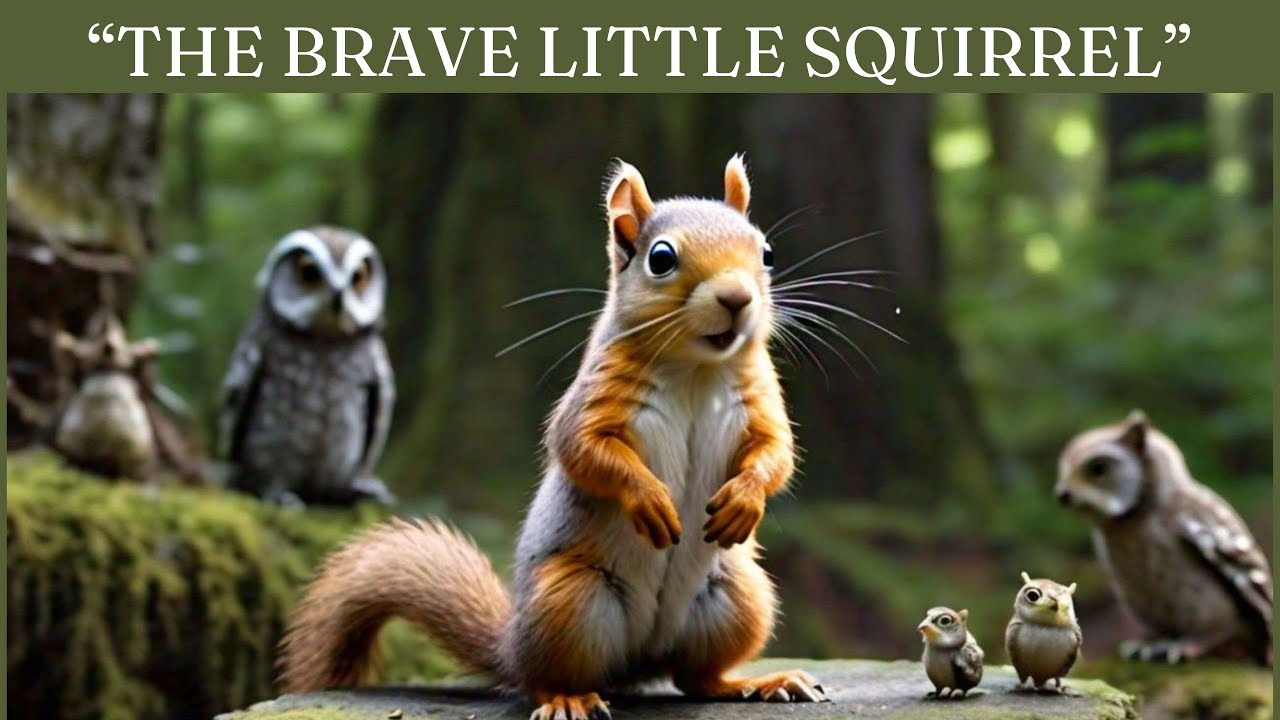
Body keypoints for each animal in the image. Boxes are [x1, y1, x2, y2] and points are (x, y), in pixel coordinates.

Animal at [278, 156, 826, 720]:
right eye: (661, 258)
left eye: (766, 251)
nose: (738, 298)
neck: (697, 368)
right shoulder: (594, 401)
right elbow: (585, 450)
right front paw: (649, 498)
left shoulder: (760, 401)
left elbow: (776, 453)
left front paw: (746, 499)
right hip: (569, 599)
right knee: (547, 678)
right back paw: (568, 698)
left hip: (739, 595)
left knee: (697, 678)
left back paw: (754, 682)